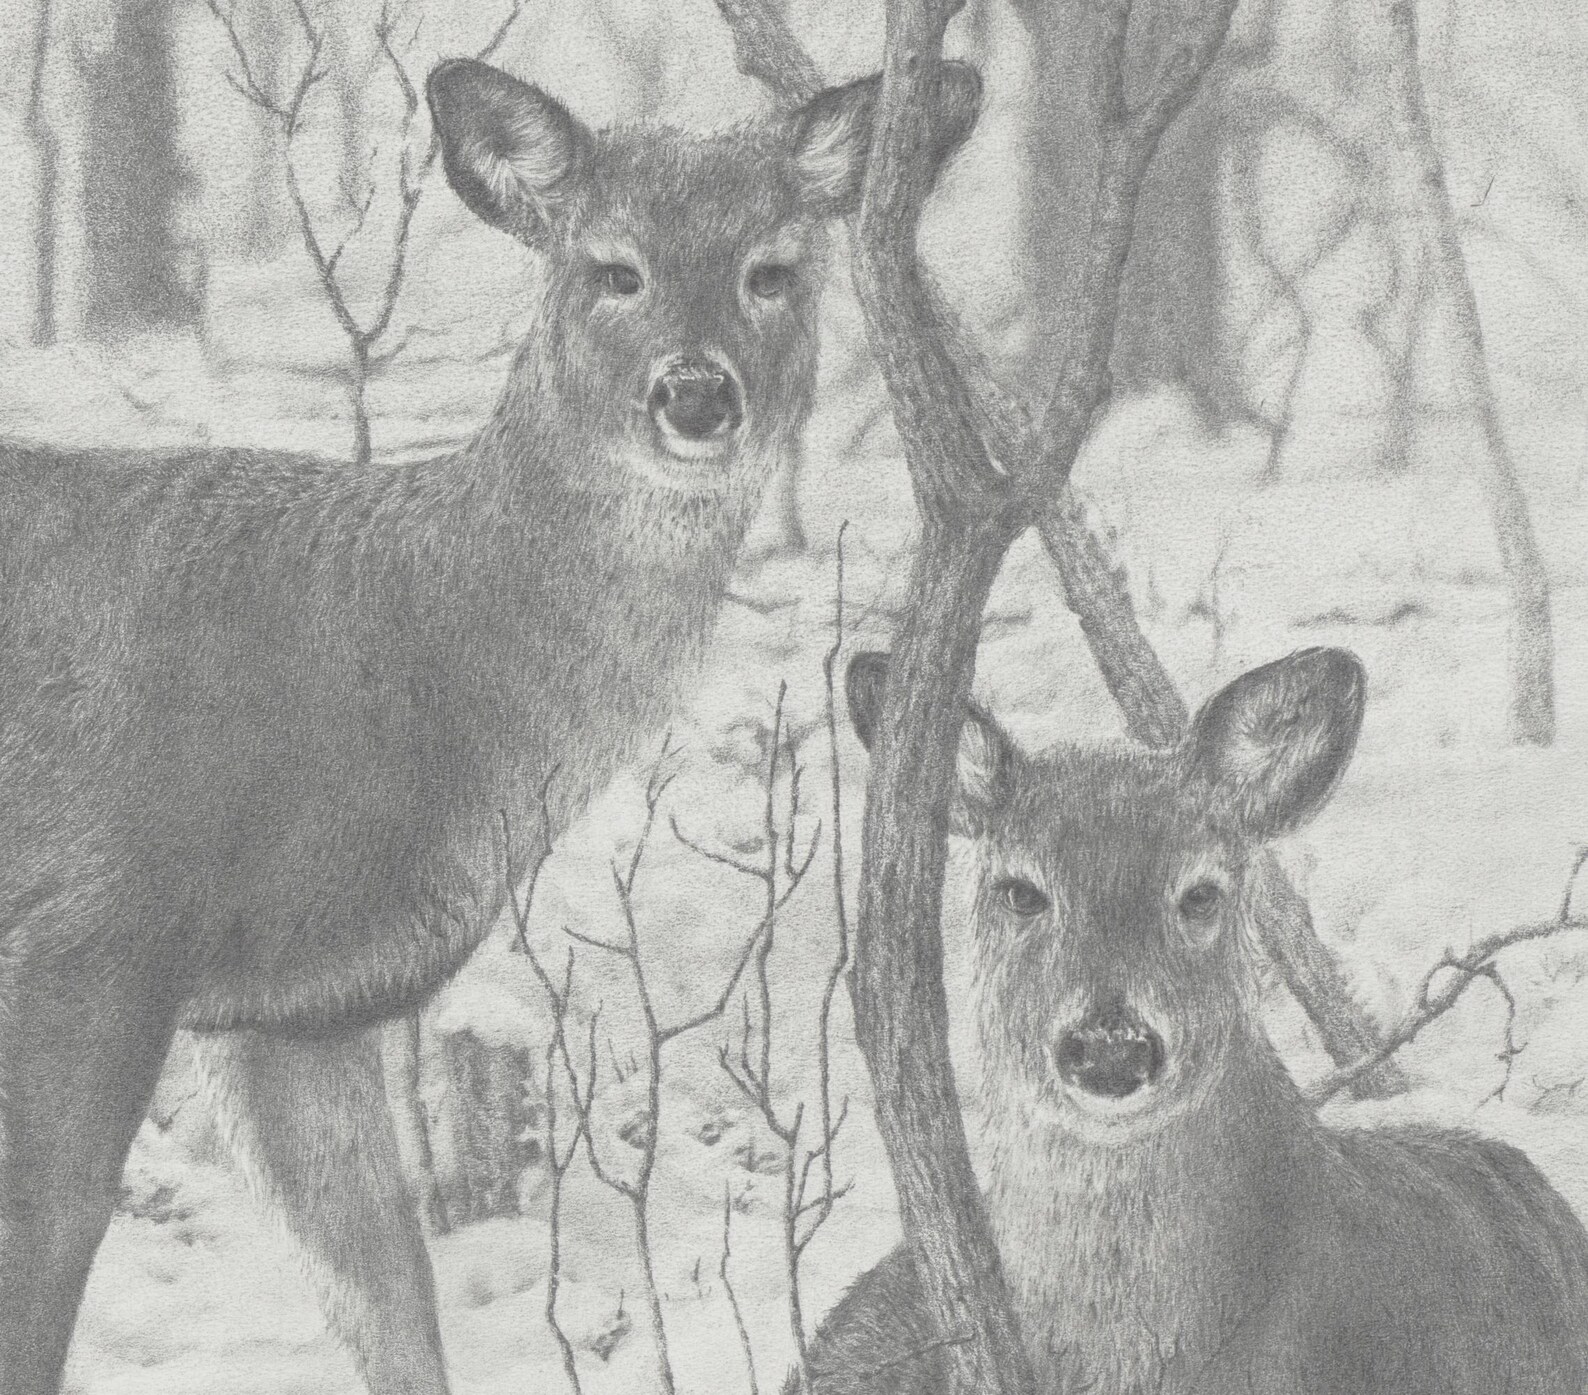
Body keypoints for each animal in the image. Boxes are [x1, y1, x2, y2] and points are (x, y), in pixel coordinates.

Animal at [0, 55, 981, 1394]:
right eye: (612, 268)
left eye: (771, 269)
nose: (694, 393)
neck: (400, 656)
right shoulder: (92, 925)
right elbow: (44, 1252)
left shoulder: (294, 1012)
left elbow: (393, 1300)